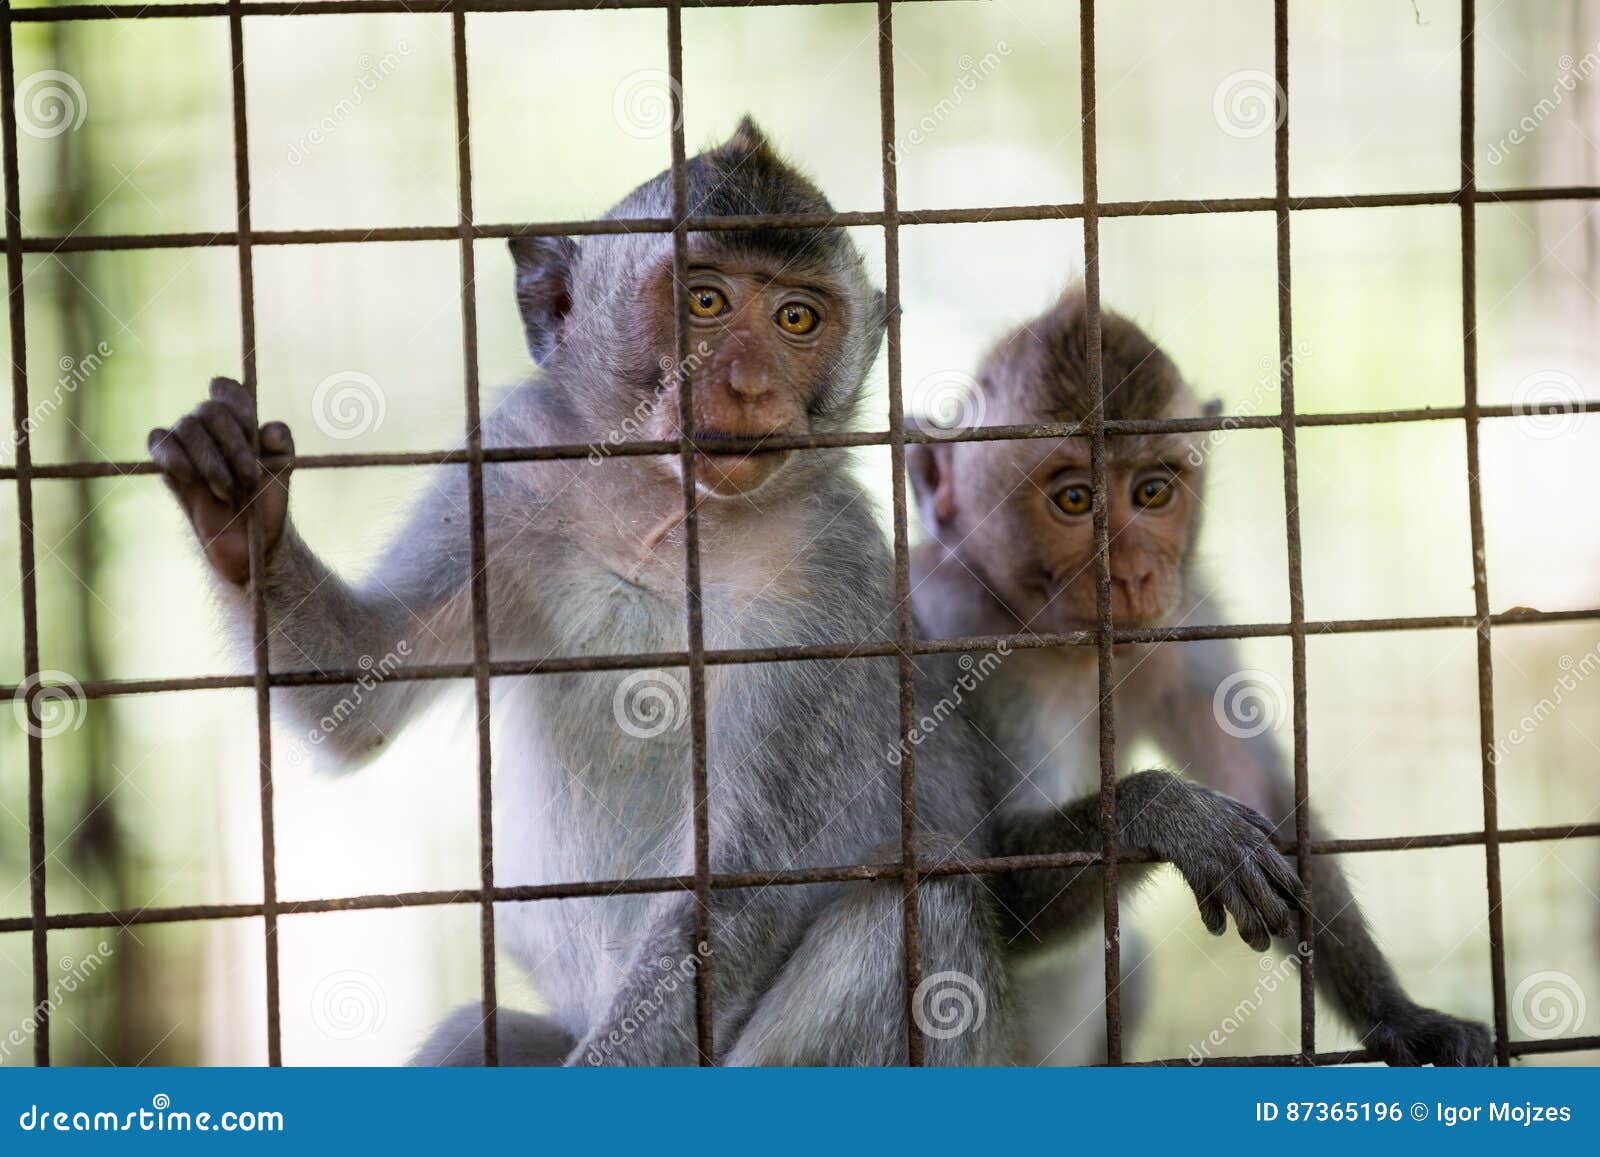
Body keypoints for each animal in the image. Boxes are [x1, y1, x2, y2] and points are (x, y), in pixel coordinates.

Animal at [149, 120, 1303, 1066]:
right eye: (704, 300)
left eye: (796, 318)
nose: (747, 384)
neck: (671, 512)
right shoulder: (509, 469)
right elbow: (356, 694)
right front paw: (238, 504)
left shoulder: (830, 588)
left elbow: (740, 889)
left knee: (907, 909)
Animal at [906, 284, 1497, 1067]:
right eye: (1074, 500)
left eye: (1154, 491)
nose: (1133, 574)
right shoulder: (961, 640)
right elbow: (993, 884)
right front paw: (1170, 812)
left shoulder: (1189, 624)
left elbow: (1270, 805)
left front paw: (1400, 1015)